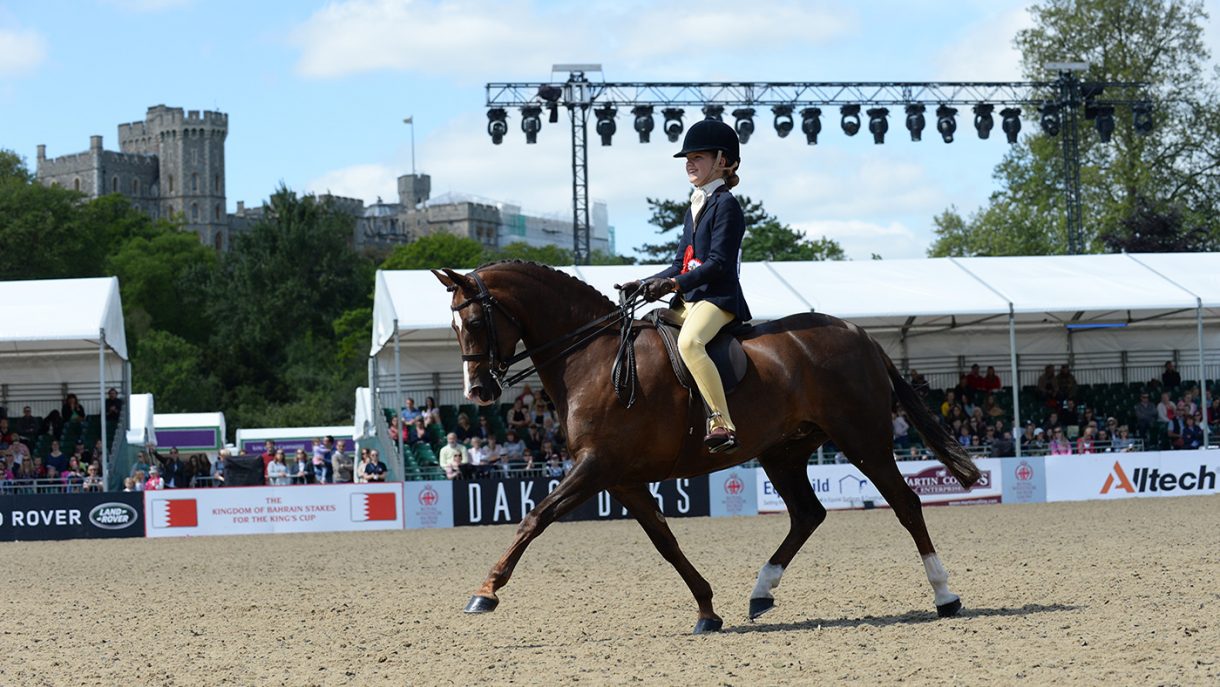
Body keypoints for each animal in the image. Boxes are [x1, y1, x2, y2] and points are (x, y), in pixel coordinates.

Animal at [433, 260, 980, 634]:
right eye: (453, 327)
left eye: (475, 323)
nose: (478, 392)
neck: (594, 357)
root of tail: (860, 333)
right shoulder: (622, 479)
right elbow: (666, 542)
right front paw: (707, 609)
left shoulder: (595, 467)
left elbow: (535, 517)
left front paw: (486, 592)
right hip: (783, 451)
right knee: (808, 513)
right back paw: (761, 594)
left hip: (862, 439)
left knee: (905, 504)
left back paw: (945, 595)